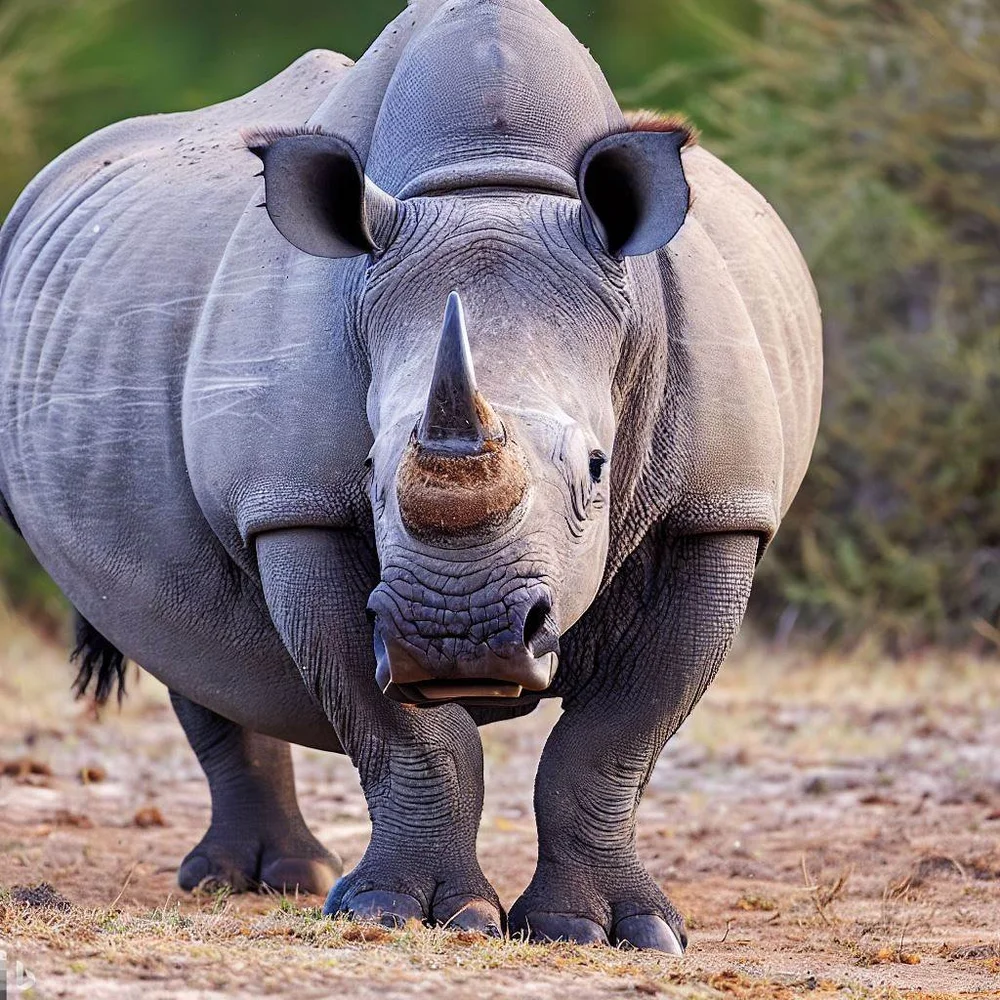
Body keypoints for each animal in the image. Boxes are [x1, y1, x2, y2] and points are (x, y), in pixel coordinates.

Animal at [0, 0, 821, 952]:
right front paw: (405, 913)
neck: (492, 182)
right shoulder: (296, 505)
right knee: (177, 630)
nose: (457, 636)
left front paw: (612, 933)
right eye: (366, 465)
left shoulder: (717, 508)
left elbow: (615, 737)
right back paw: (260, 883)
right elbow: (403, 730)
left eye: (597, 468)